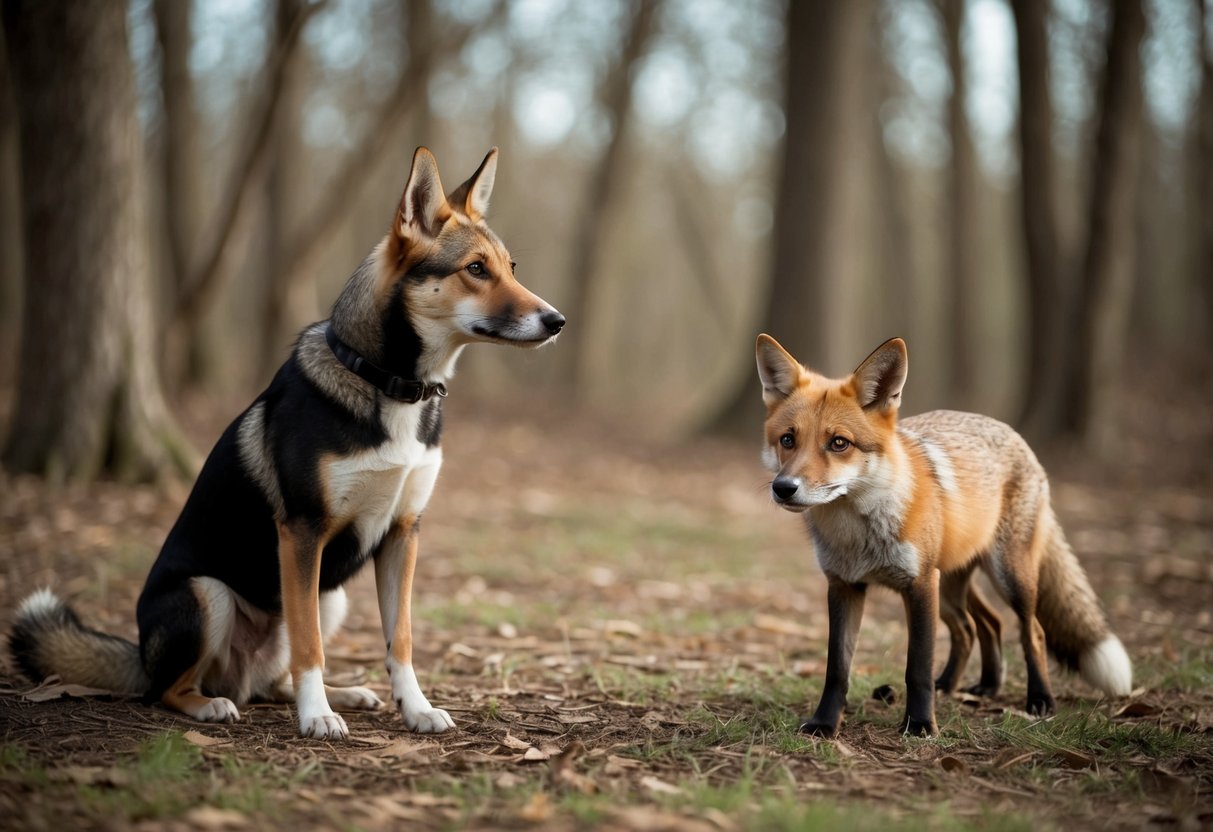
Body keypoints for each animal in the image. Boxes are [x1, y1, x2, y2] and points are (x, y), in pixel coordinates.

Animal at [9, 147, 565, 740]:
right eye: (475, 269)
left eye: (511, 268)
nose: (557, 321)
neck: (388, 383)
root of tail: (142, 656)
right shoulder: (302, 533)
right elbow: (309, 647)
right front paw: (316, 717)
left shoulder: (402, 534)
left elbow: (401, 640)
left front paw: (414, 708)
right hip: (209, 594)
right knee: (168, 691)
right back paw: (216, 704)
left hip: (330, 596)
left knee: (272, 682)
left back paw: (344, 694)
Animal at [755, 334, 1132, 737]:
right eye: (788, 440)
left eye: (839, 443)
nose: (783, 488)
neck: (857, 536)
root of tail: (1011, 431)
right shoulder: (844, 585)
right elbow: (836, 670)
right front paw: (825, 724)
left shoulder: (919, 583)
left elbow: (917, 667)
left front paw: (920, 725)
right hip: (951, 584)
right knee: (979, 625)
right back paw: (971, 685)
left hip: (1007, 577)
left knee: (1032, 632)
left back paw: (1039, 699)